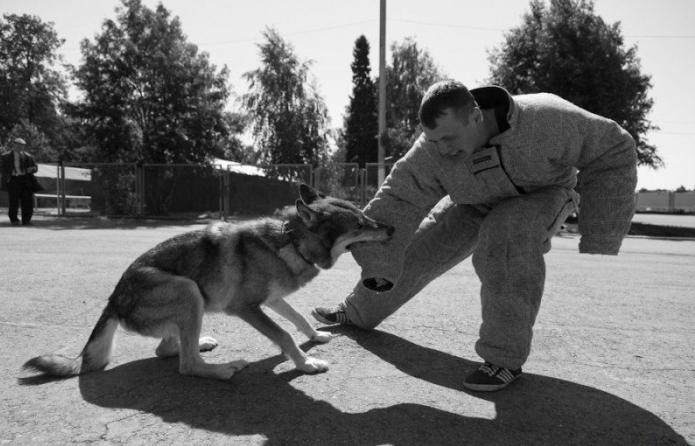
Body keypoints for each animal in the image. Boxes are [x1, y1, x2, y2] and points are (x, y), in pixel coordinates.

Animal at [23, 184, 392, 380]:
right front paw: (306, 364)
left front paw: (315, 337)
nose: (392, 228)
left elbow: (297, 318)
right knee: (185, 365)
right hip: (188, 291)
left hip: (190, 304)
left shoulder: (272, 300)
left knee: (167, 349)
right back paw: (223, 368)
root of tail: (114, 300)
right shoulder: (247, 308)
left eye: (365, 216)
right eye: (360, 224)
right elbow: (284, 335)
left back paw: (202, 343)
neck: (291, 240)